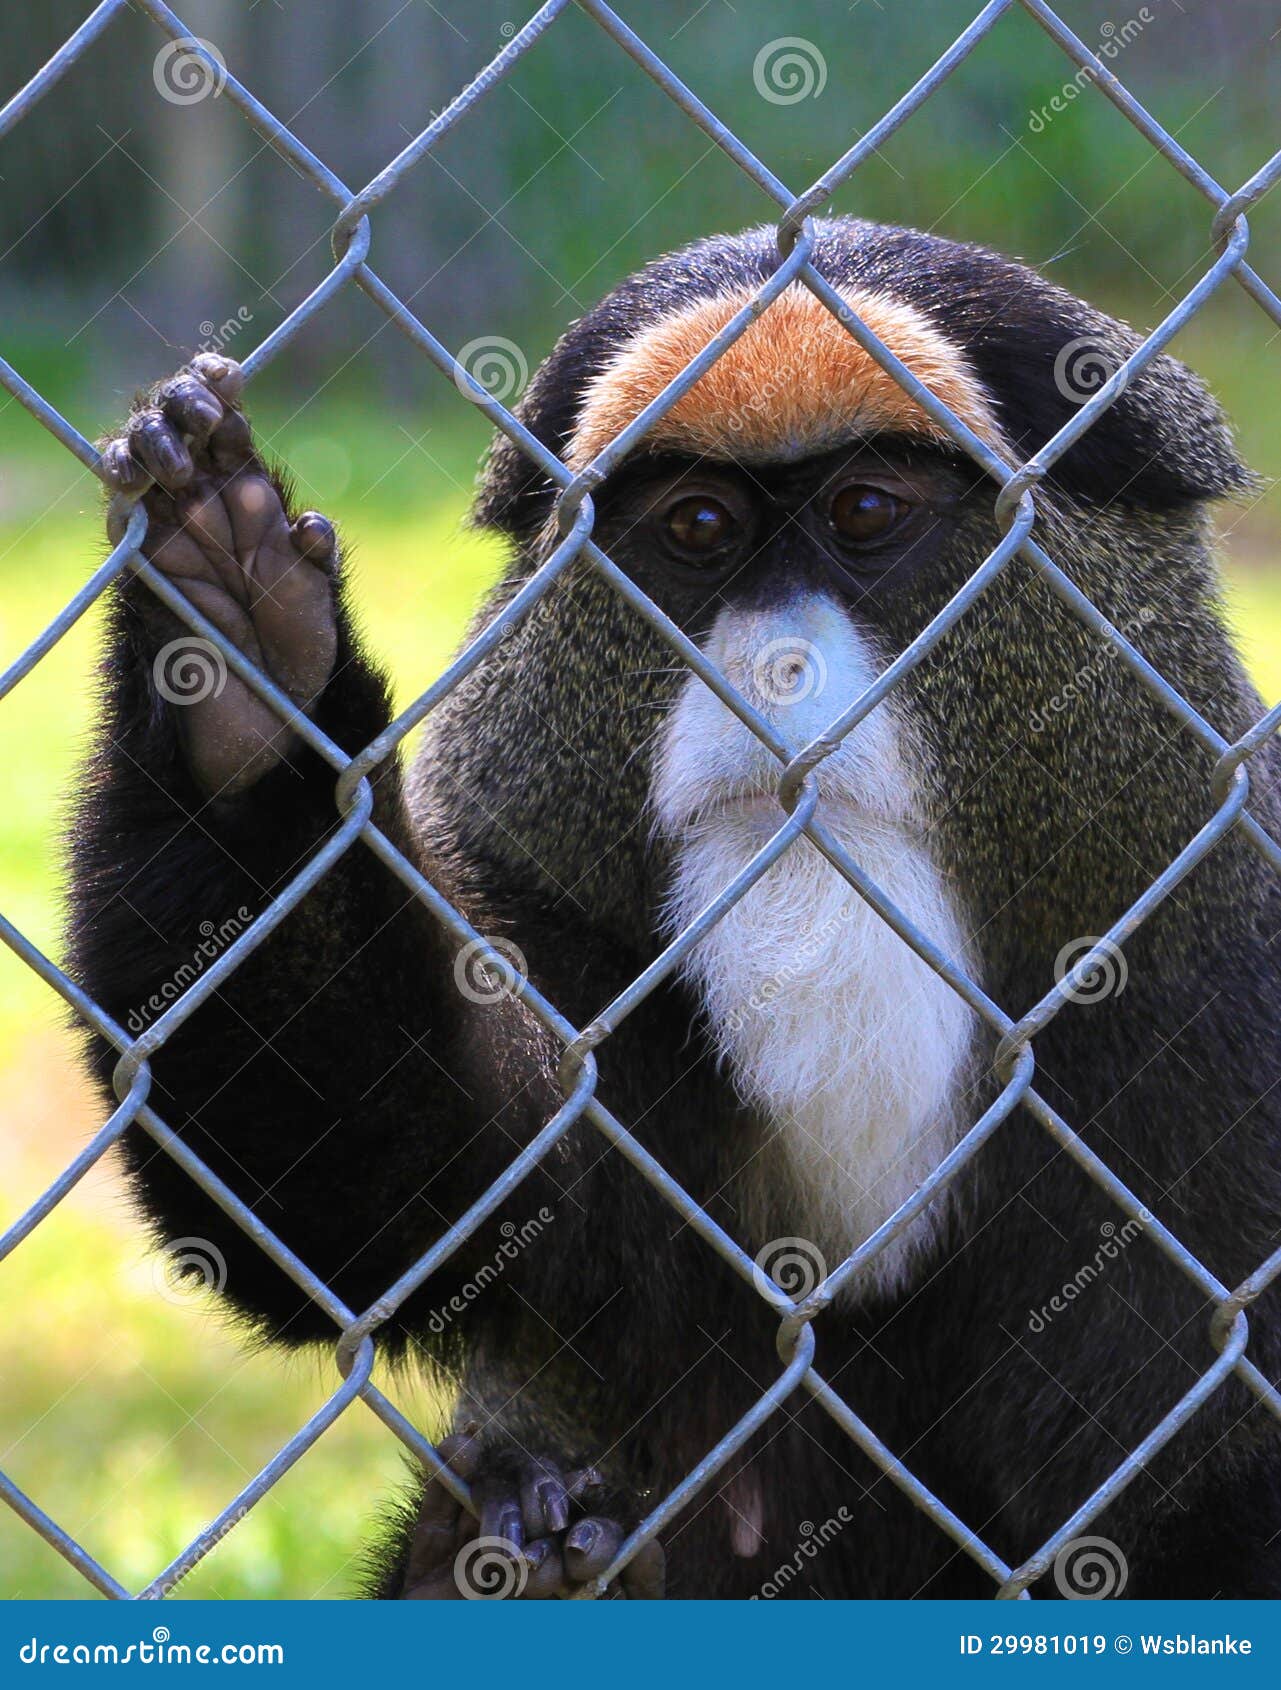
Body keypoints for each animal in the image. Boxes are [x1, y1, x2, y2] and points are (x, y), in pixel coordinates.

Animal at [67, 216, 1281, 1600]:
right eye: (698, 525)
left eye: (867, 510)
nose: (775, 665)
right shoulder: (560, 957)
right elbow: (364, 1200)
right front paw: (233, 650)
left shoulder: (1220, 1015)